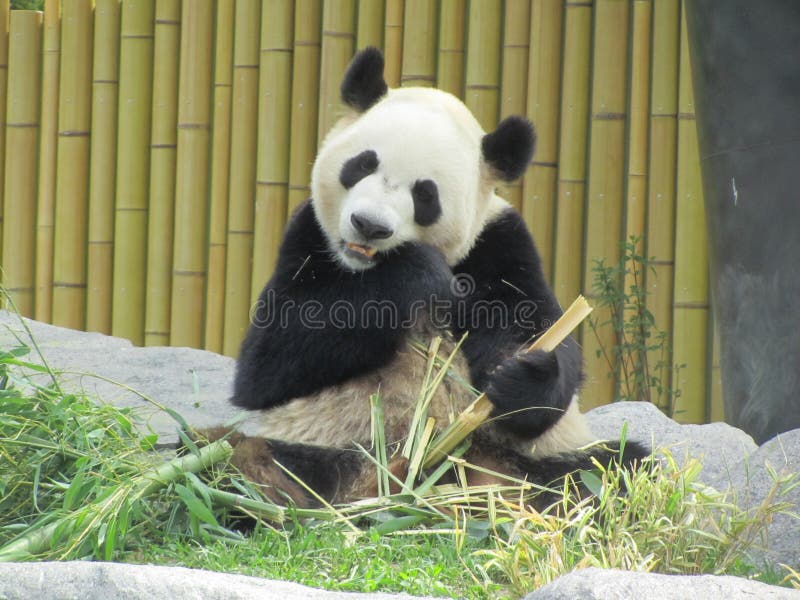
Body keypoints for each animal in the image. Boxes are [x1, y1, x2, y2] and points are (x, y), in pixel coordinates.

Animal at [210, 47, 648, 509]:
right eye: (362, 164)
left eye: (425, 195)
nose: (370, 225)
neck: (363, 269)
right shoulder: (307, 235)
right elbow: (269, 361)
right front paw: (418, 272)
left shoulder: (500, 243)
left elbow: (539, 331)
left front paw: (517, 378)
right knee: (233, 458)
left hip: (534, 460)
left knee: (618, 467)